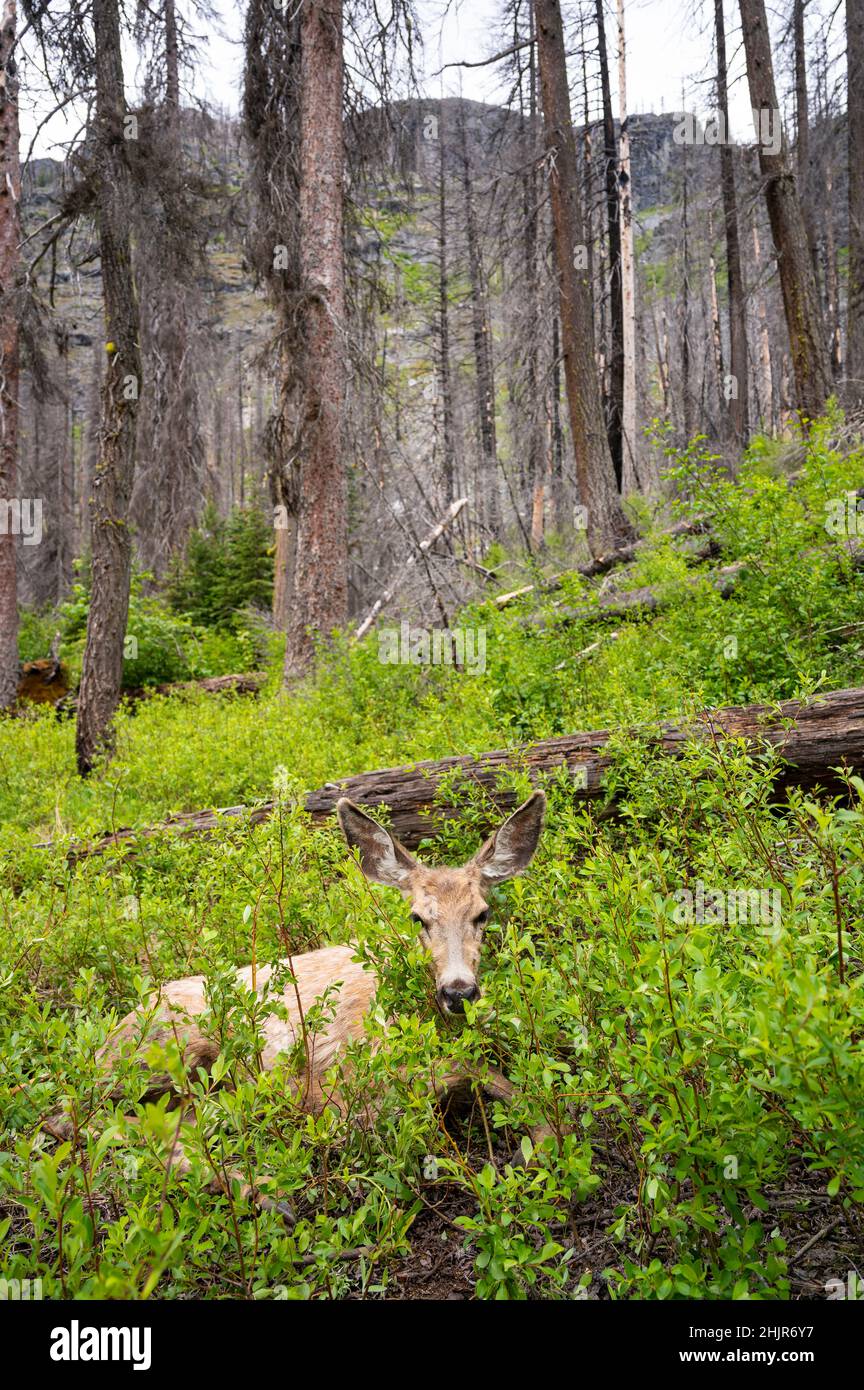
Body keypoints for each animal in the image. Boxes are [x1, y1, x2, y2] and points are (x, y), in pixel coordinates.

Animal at [45, 791, 547, 1213]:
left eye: (482, 913)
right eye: (417, 917)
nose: (459, 992)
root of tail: (104, 1040)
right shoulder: (351, 1080)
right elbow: (453, 1083)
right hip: (164, 1049)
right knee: (75, 1118)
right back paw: (261, 1192)